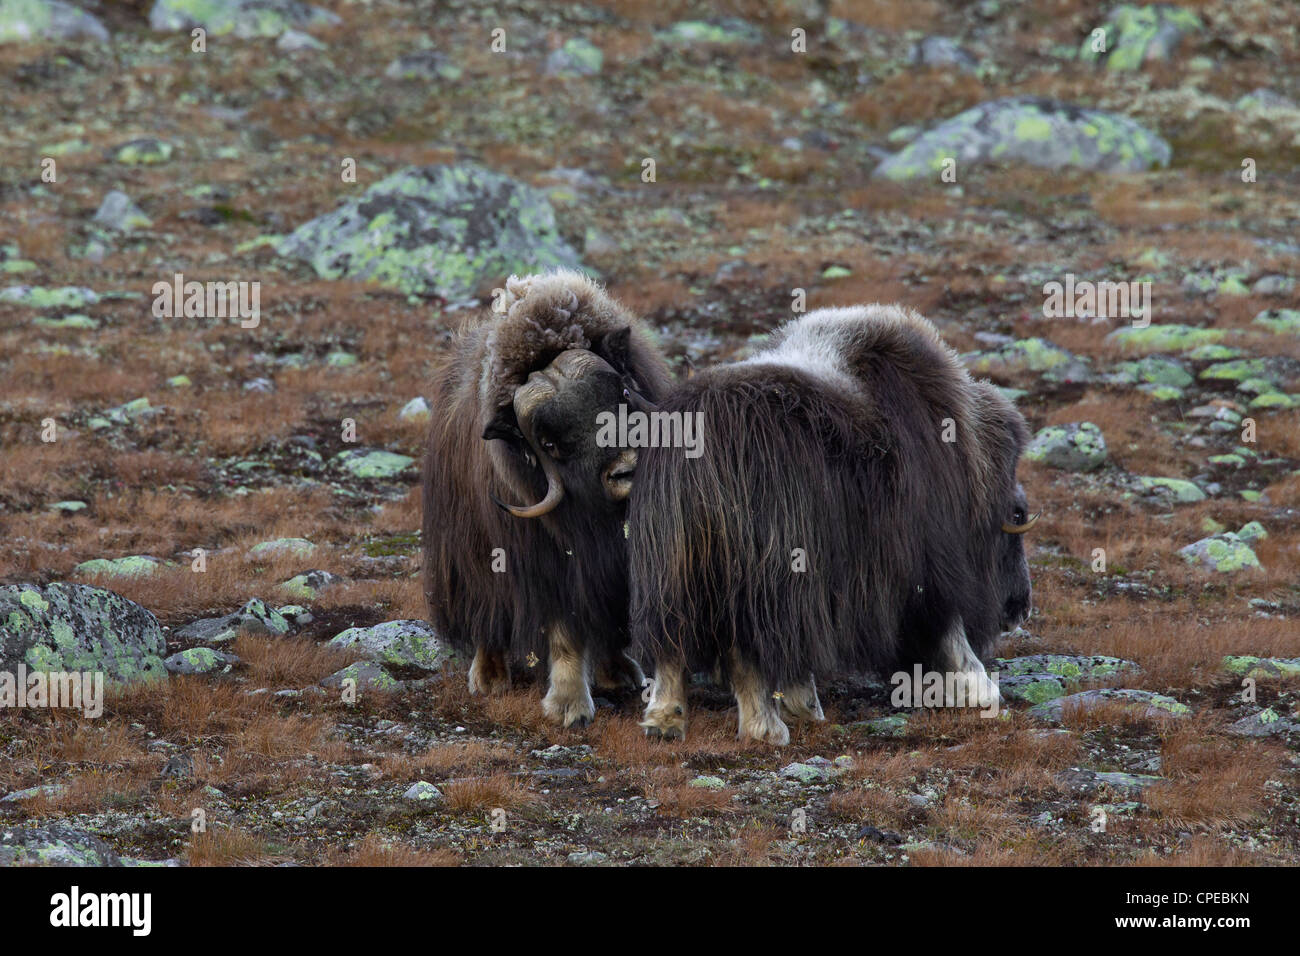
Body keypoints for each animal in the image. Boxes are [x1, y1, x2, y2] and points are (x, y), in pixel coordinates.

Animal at [422, 270, 673, 726]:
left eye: (623, 395)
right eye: (550, 443)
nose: (626, 471)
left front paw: (620, 672)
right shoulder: (550, 567)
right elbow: (566, 633)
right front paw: (570, 707)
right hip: (472, 561)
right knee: (488, 616)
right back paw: (489, 677)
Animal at [628, 304, 1037, 743]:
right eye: (1016, 515)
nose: (1020, 610)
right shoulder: (930, 571)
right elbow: (951, 634)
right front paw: (984, 691)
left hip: (668, 568)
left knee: (670, 643)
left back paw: (664, 722)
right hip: (762, 578)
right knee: (748, 651)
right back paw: (768, 730)